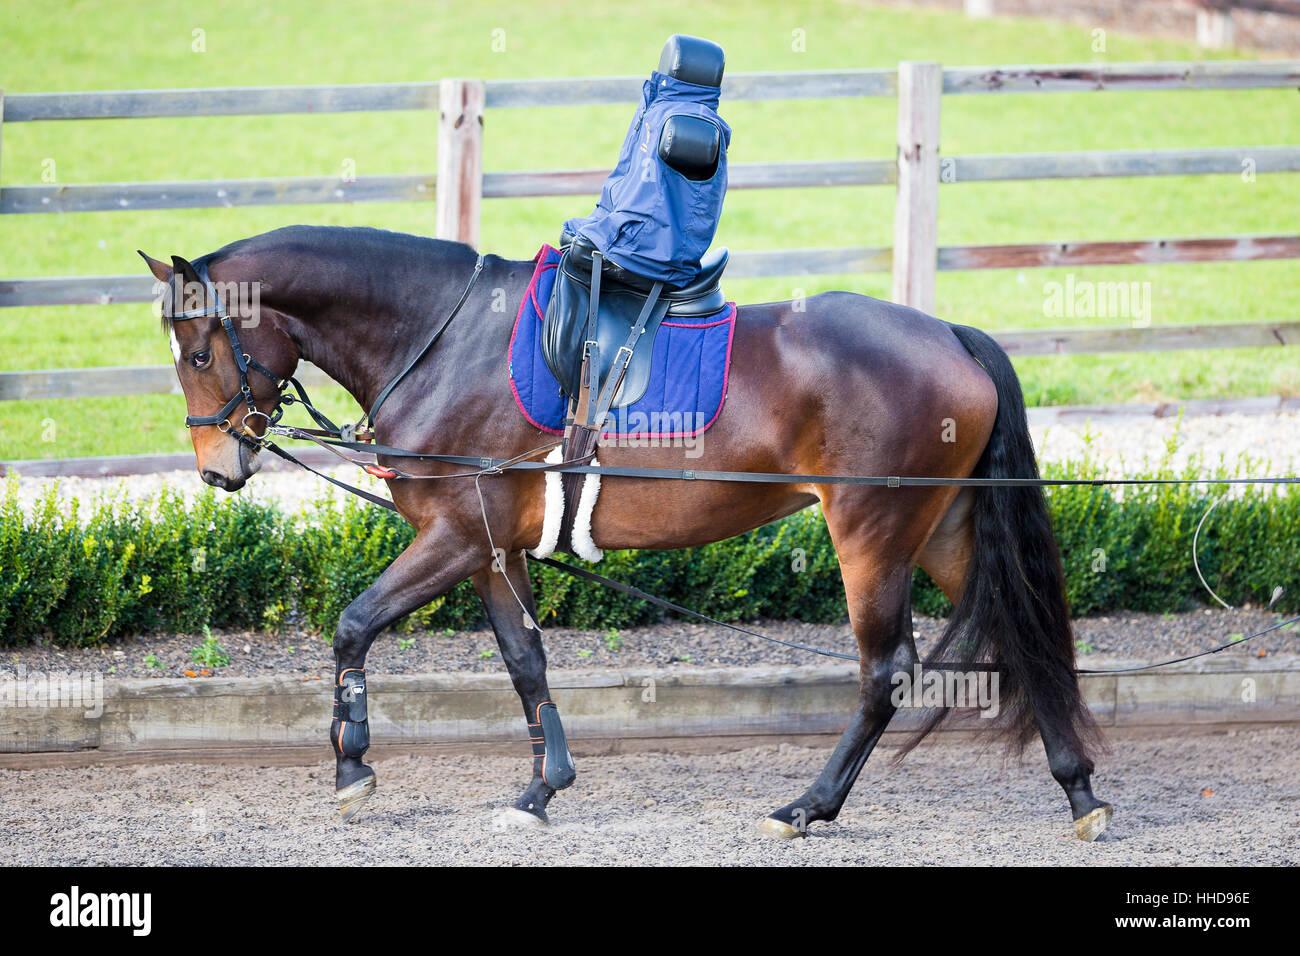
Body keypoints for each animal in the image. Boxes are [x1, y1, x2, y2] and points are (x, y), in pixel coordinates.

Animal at [139, 224, 1112, 842]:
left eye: (201, 352)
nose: (217, 469)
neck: (444, 341)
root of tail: (946, 331)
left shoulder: (454, 536)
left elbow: (353, 626)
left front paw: (352, 769)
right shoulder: (491, 549)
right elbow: (524, 661)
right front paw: (542, 788)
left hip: (870, 533)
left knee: (887, 673)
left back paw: (808, 807)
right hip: (942, 530)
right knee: (1026, 642)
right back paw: (1079, 794)